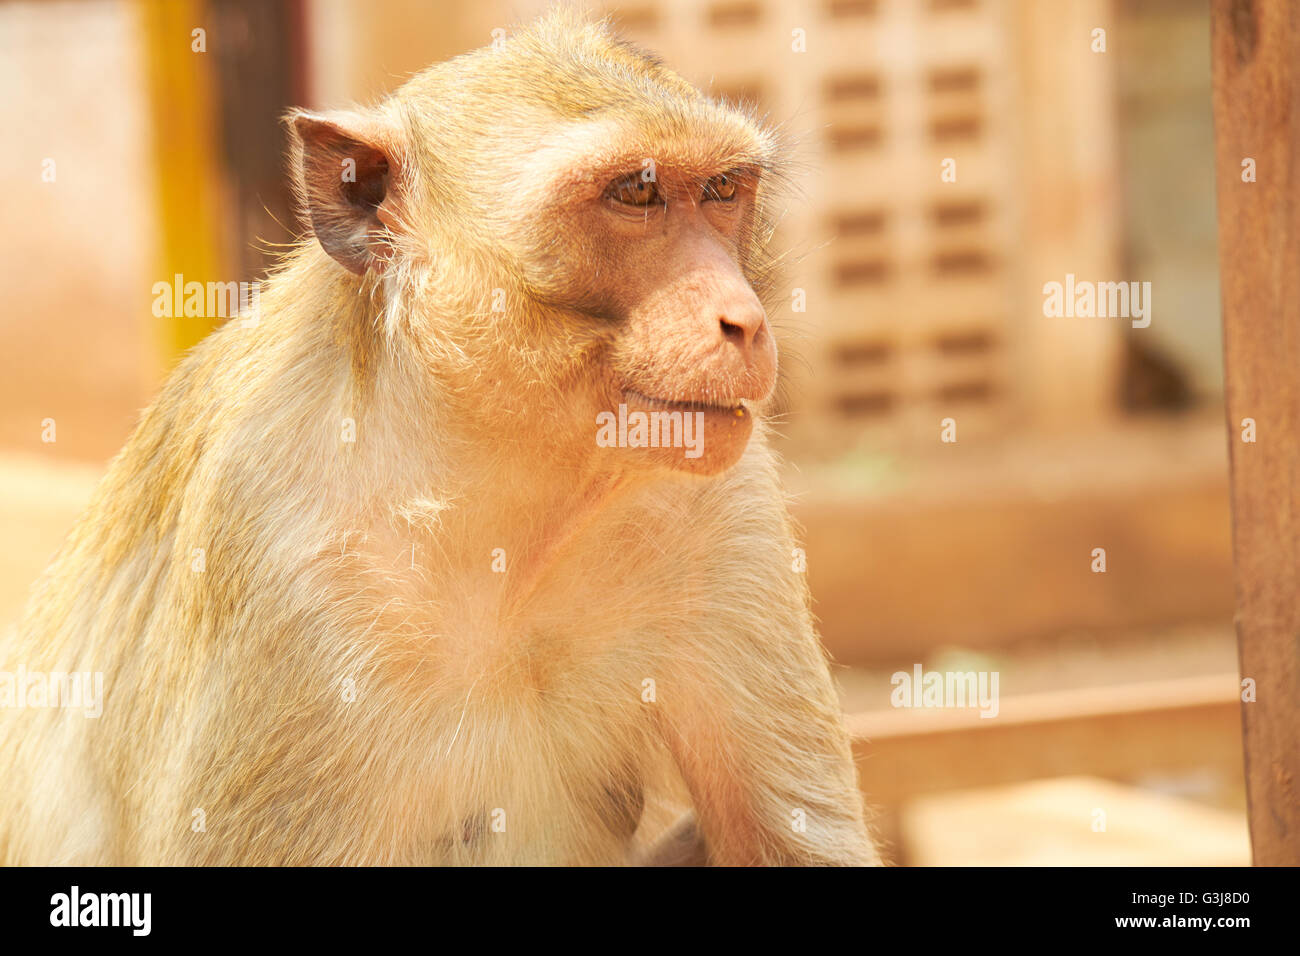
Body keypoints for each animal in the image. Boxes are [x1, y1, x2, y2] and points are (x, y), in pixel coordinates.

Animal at [0, 9, 879, 866]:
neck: (497, 495)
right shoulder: (283, 571)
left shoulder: (728, 512)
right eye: (637, 192)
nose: (745, 318)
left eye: (723, 189)